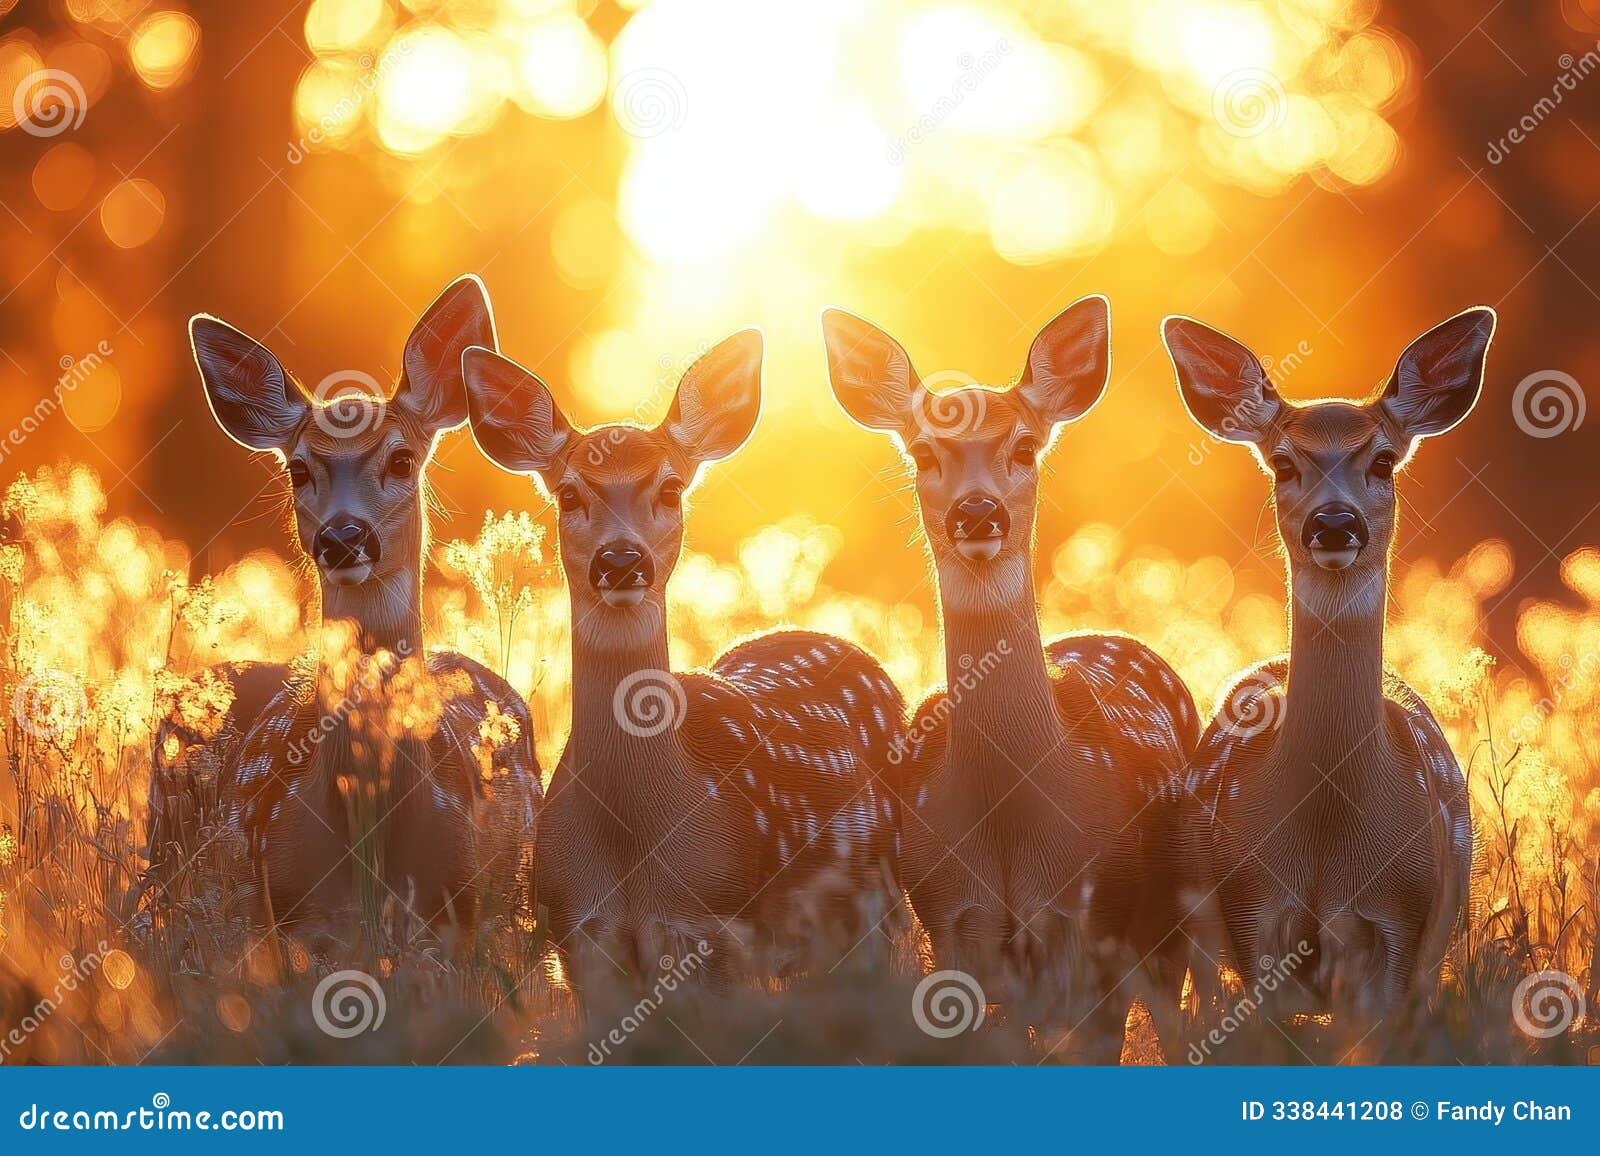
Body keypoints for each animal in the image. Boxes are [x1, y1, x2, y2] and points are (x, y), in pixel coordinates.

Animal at [1163, 307, 1489, 1054]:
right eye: (1284, 461)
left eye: (1383, 460)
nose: (1334, 523)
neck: (1327, 836)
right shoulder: (1253, 913)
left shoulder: (1405, 930)